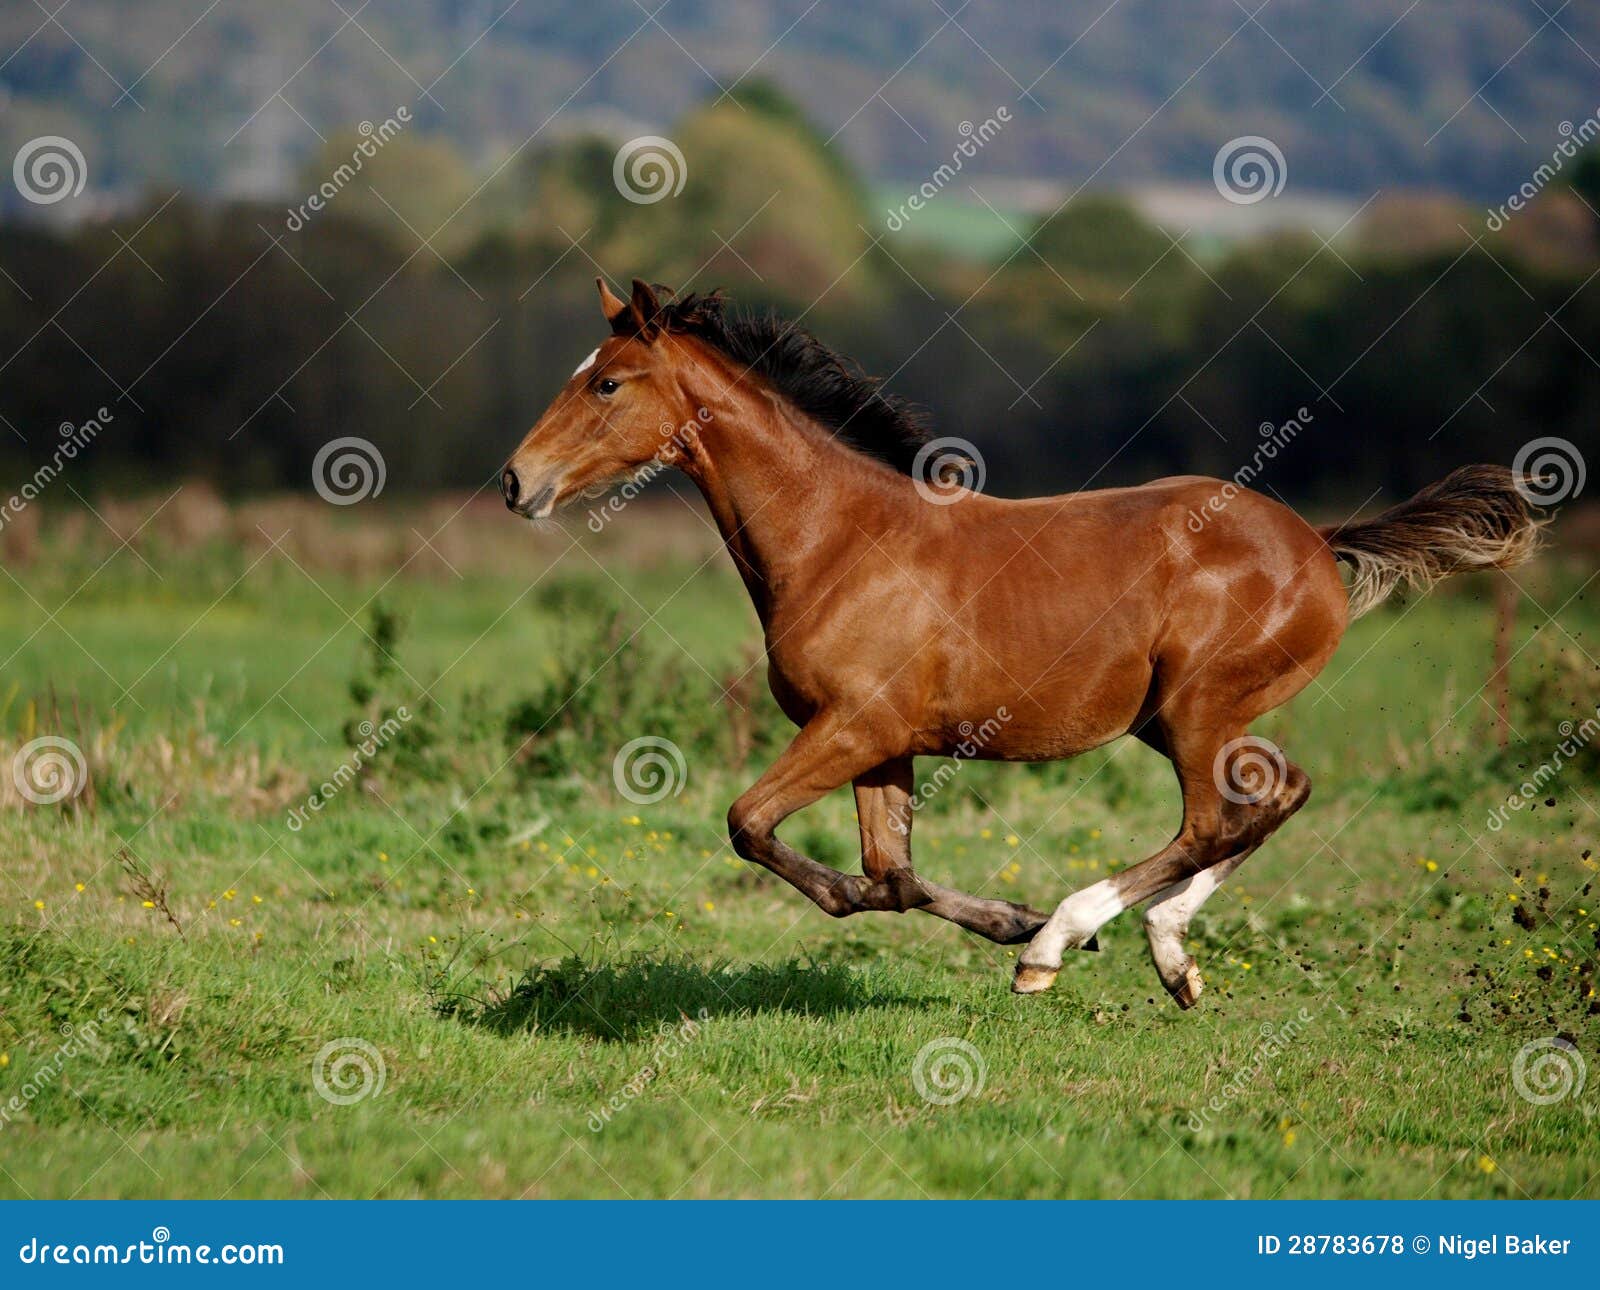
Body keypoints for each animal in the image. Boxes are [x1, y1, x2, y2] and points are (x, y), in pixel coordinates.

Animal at [500, 278, 1543, 1006]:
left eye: (607, 383)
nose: (515, 482)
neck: (836, 539)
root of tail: (1321, 546)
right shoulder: (883, 744)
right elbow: (888, 877)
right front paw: (1007, 917)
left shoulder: (852, 728)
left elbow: (751, 825)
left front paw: (1029, 931)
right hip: (1181, 716)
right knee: (1280, 792)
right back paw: (1165, 956)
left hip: (1197, 707)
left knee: (1214, 821)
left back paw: (1067, 942)